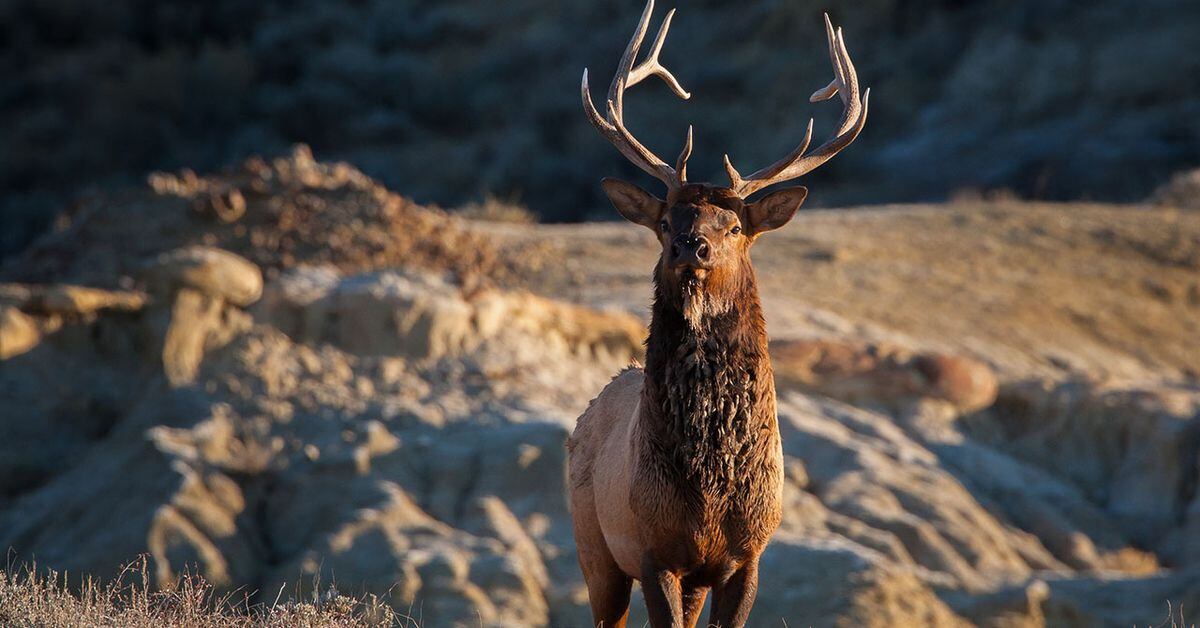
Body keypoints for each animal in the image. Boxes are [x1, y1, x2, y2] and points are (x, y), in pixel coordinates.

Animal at [566, 2, 869, 627]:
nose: (691, 246)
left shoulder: (746, 554)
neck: (710, 487)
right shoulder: (653, 549)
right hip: (595, 548)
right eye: (664, 221)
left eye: (733, 226)